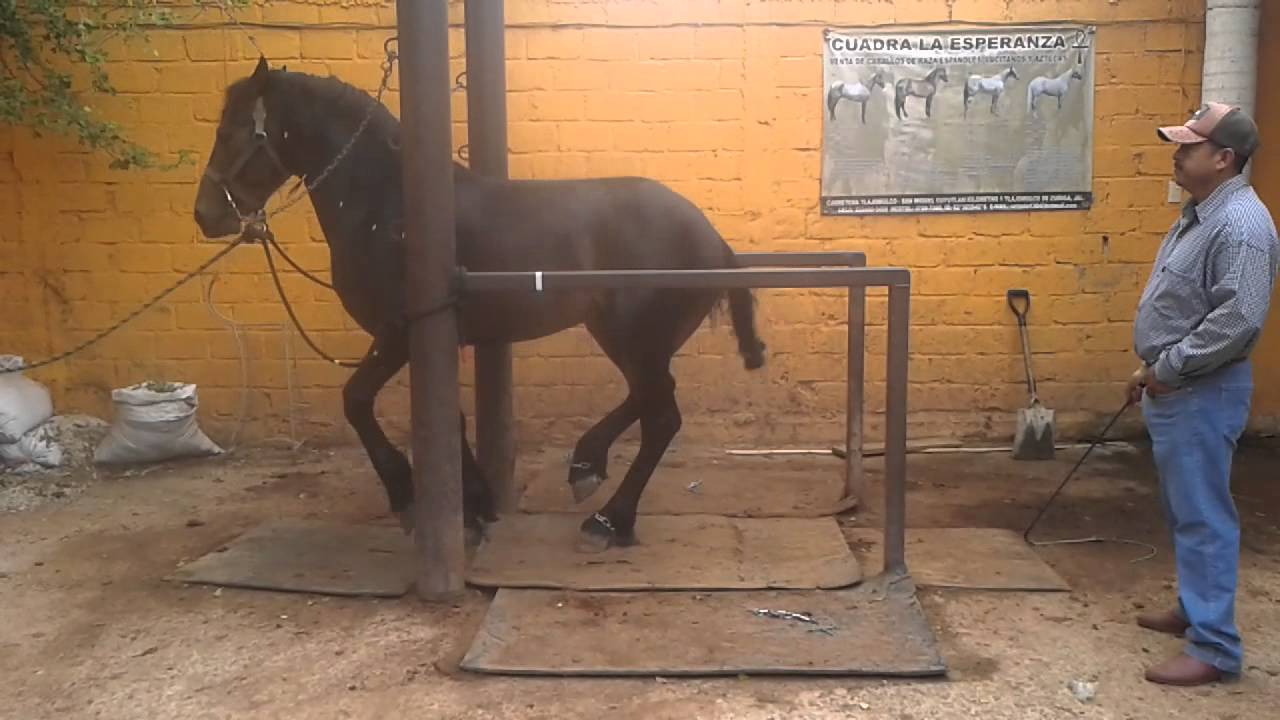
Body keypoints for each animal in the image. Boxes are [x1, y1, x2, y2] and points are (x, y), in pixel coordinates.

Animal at [192, 57, 768, 552]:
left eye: (230, 131)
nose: (205, 214)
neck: (387, 209)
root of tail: (714, 241)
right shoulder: (433, 338)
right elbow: (452, 418)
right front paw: (475, 506)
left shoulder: (399, 333)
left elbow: (357, 401)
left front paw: (409, 498)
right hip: (623, 336)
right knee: (645, 400)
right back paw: (587, 465)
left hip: (635, 339)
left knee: (661, 416)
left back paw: (609, 520)